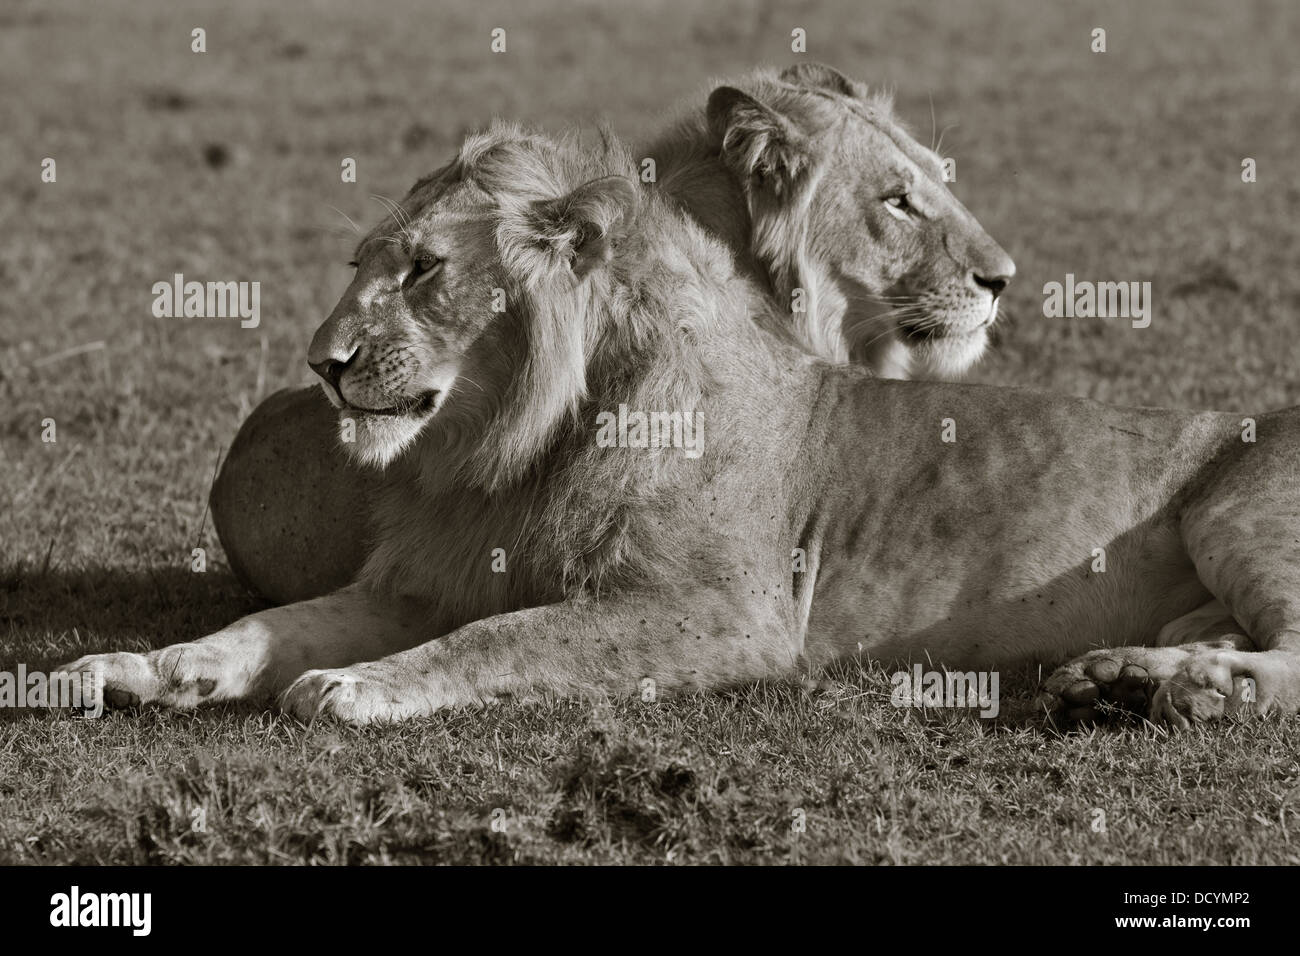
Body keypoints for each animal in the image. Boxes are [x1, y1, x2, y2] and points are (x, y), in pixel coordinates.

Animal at [68, 122, 1300, 730]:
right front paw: (140, 668)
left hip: (1238, 512)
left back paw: (1190, 691)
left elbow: (507, 639)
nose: (321, 366)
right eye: (360, 265)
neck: (507, 446)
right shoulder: (421, 579)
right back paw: (1124, 679)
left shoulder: (729, 612)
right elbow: (263, 626)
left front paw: (356, 687)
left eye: (421, 271)